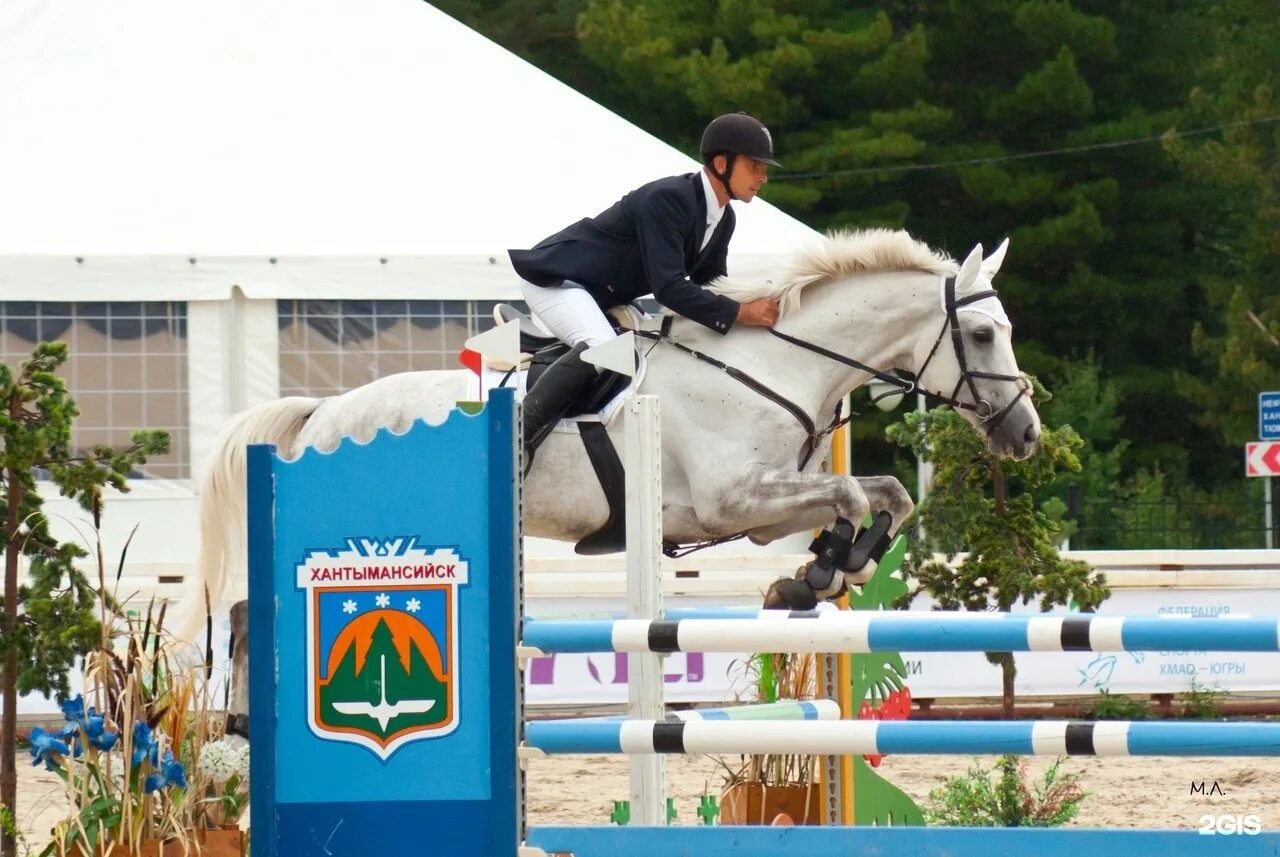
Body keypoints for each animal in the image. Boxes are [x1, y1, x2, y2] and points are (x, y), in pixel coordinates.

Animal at [194, 230, 1044, 731]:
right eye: (979, 333)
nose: (1026, 434)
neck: (776, 363)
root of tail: (323, 412)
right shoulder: (733, 498)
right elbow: (852, 493)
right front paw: (821, 572)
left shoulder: (762, 510)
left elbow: (885, 495)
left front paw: (822, 572)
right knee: (256, 609)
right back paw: (241, 722)